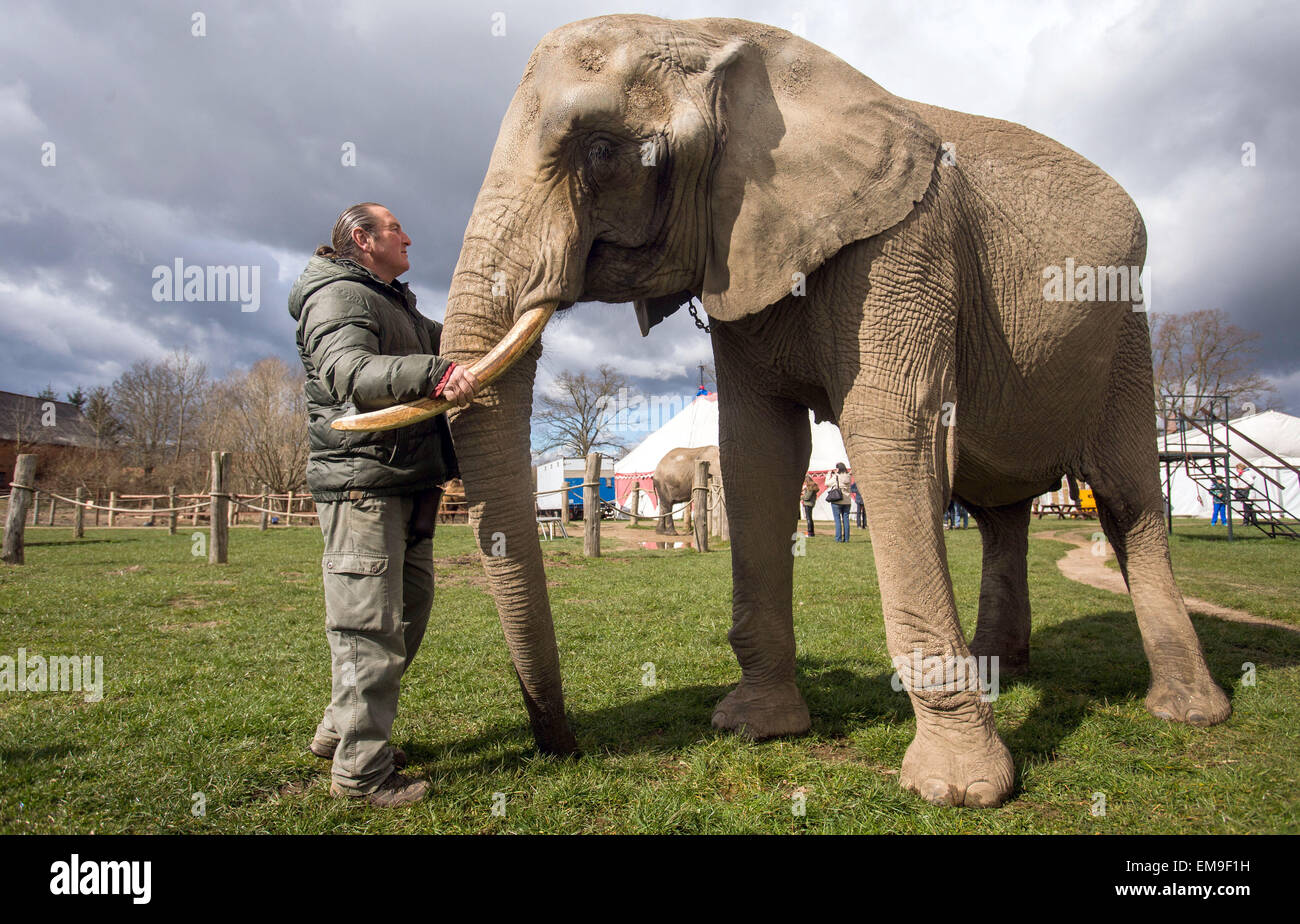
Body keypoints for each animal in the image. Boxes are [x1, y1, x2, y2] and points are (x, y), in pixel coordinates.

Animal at [334, 14, 1231, 808]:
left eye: (601, 150)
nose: (565, 746)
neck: (719, 39)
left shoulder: (901, 247)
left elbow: (889, 440)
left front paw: (960, 791)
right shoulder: (743, 251)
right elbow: (758, 453)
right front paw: (754, 727)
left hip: (1126, 332)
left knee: (1126, 497)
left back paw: (1186, 711)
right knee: (1000, 510)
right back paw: (1000, 671)